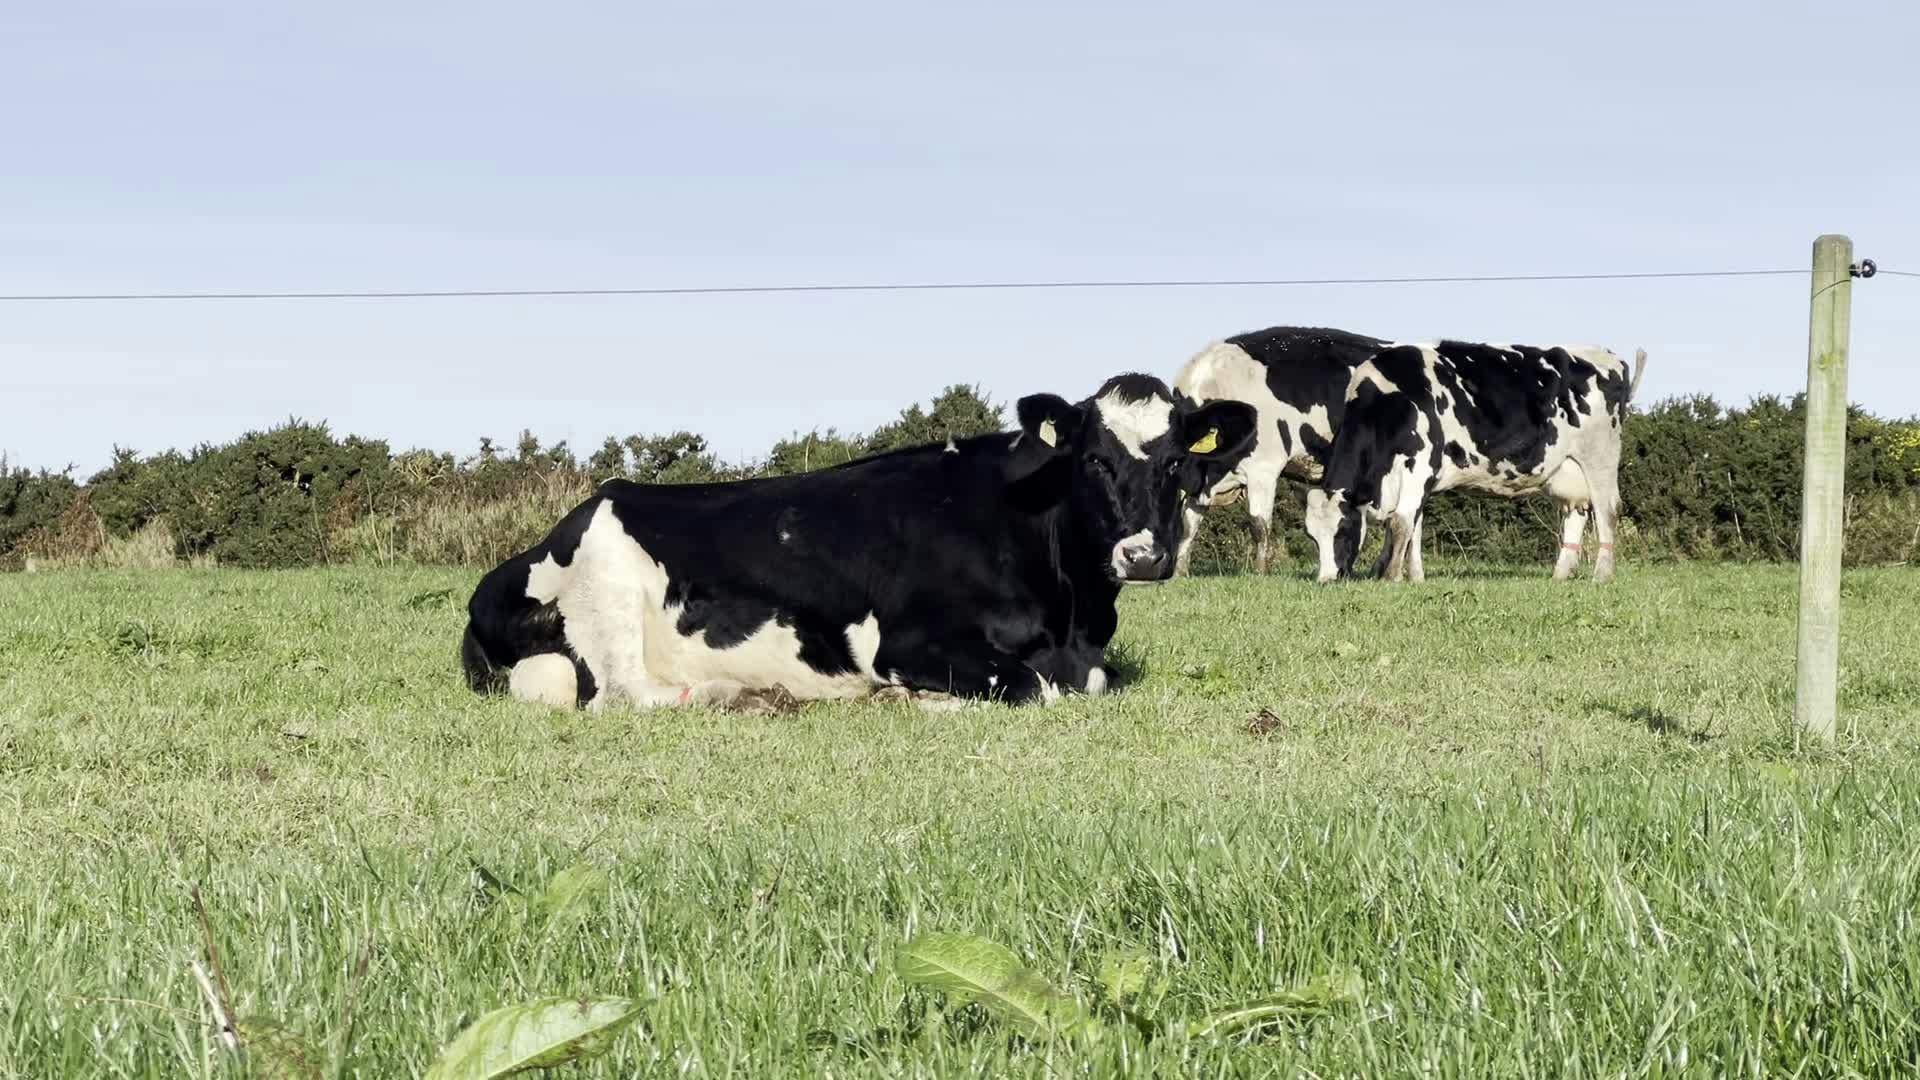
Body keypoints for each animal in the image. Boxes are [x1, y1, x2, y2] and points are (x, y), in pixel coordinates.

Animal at [460, 374, 1257, 710]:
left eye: (1177, 462)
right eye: (1093, 458)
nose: (1143, 556)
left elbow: (1087, 681)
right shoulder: (907, 641)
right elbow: (1035, 687)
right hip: (611, 586)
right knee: (625, 693)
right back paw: (735, 695)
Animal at [1305, 340, 1648, 584]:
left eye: (1343, 530)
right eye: (1312, 536)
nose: (1326, 580)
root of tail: (1607, 357)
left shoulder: (1420, 464)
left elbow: (1401, 522)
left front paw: (1392, 576)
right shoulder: (1418, 476)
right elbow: (1413, 525)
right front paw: (1412, 576)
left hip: (1599, 457)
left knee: (1607, 511)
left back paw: (1601, 574)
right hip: (1566, 471)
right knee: (1576, 513)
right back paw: (1560, 574)